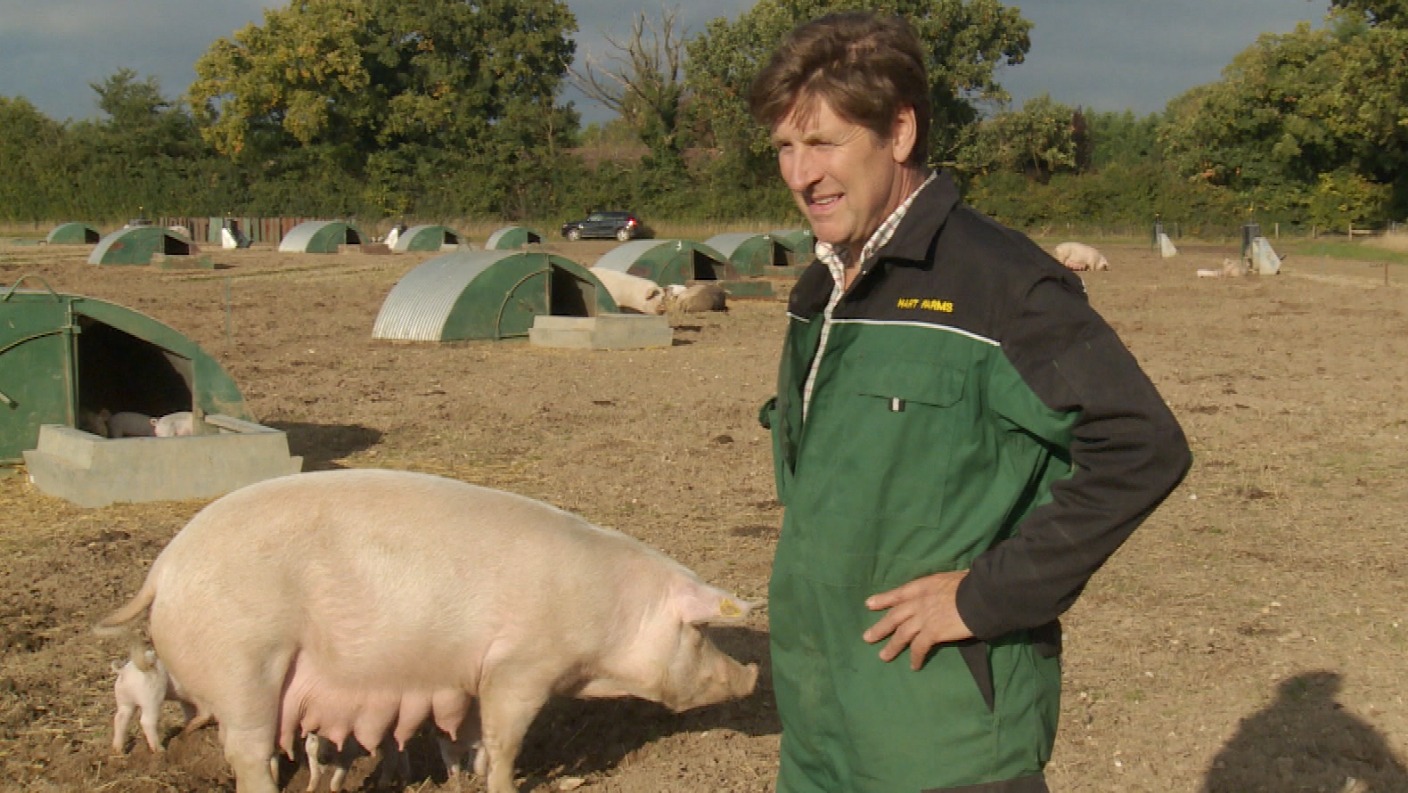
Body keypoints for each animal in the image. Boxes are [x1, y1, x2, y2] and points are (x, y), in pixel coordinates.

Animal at [94, 469, 758, 793]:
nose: (750, 675)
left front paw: (470, 774)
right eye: (698, 632)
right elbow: (507, 739)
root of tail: (163, 568)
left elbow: (476, 738)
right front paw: (505, 786)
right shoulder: (520, 667)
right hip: (246, 663)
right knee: (248, 754)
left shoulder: (477, 677)